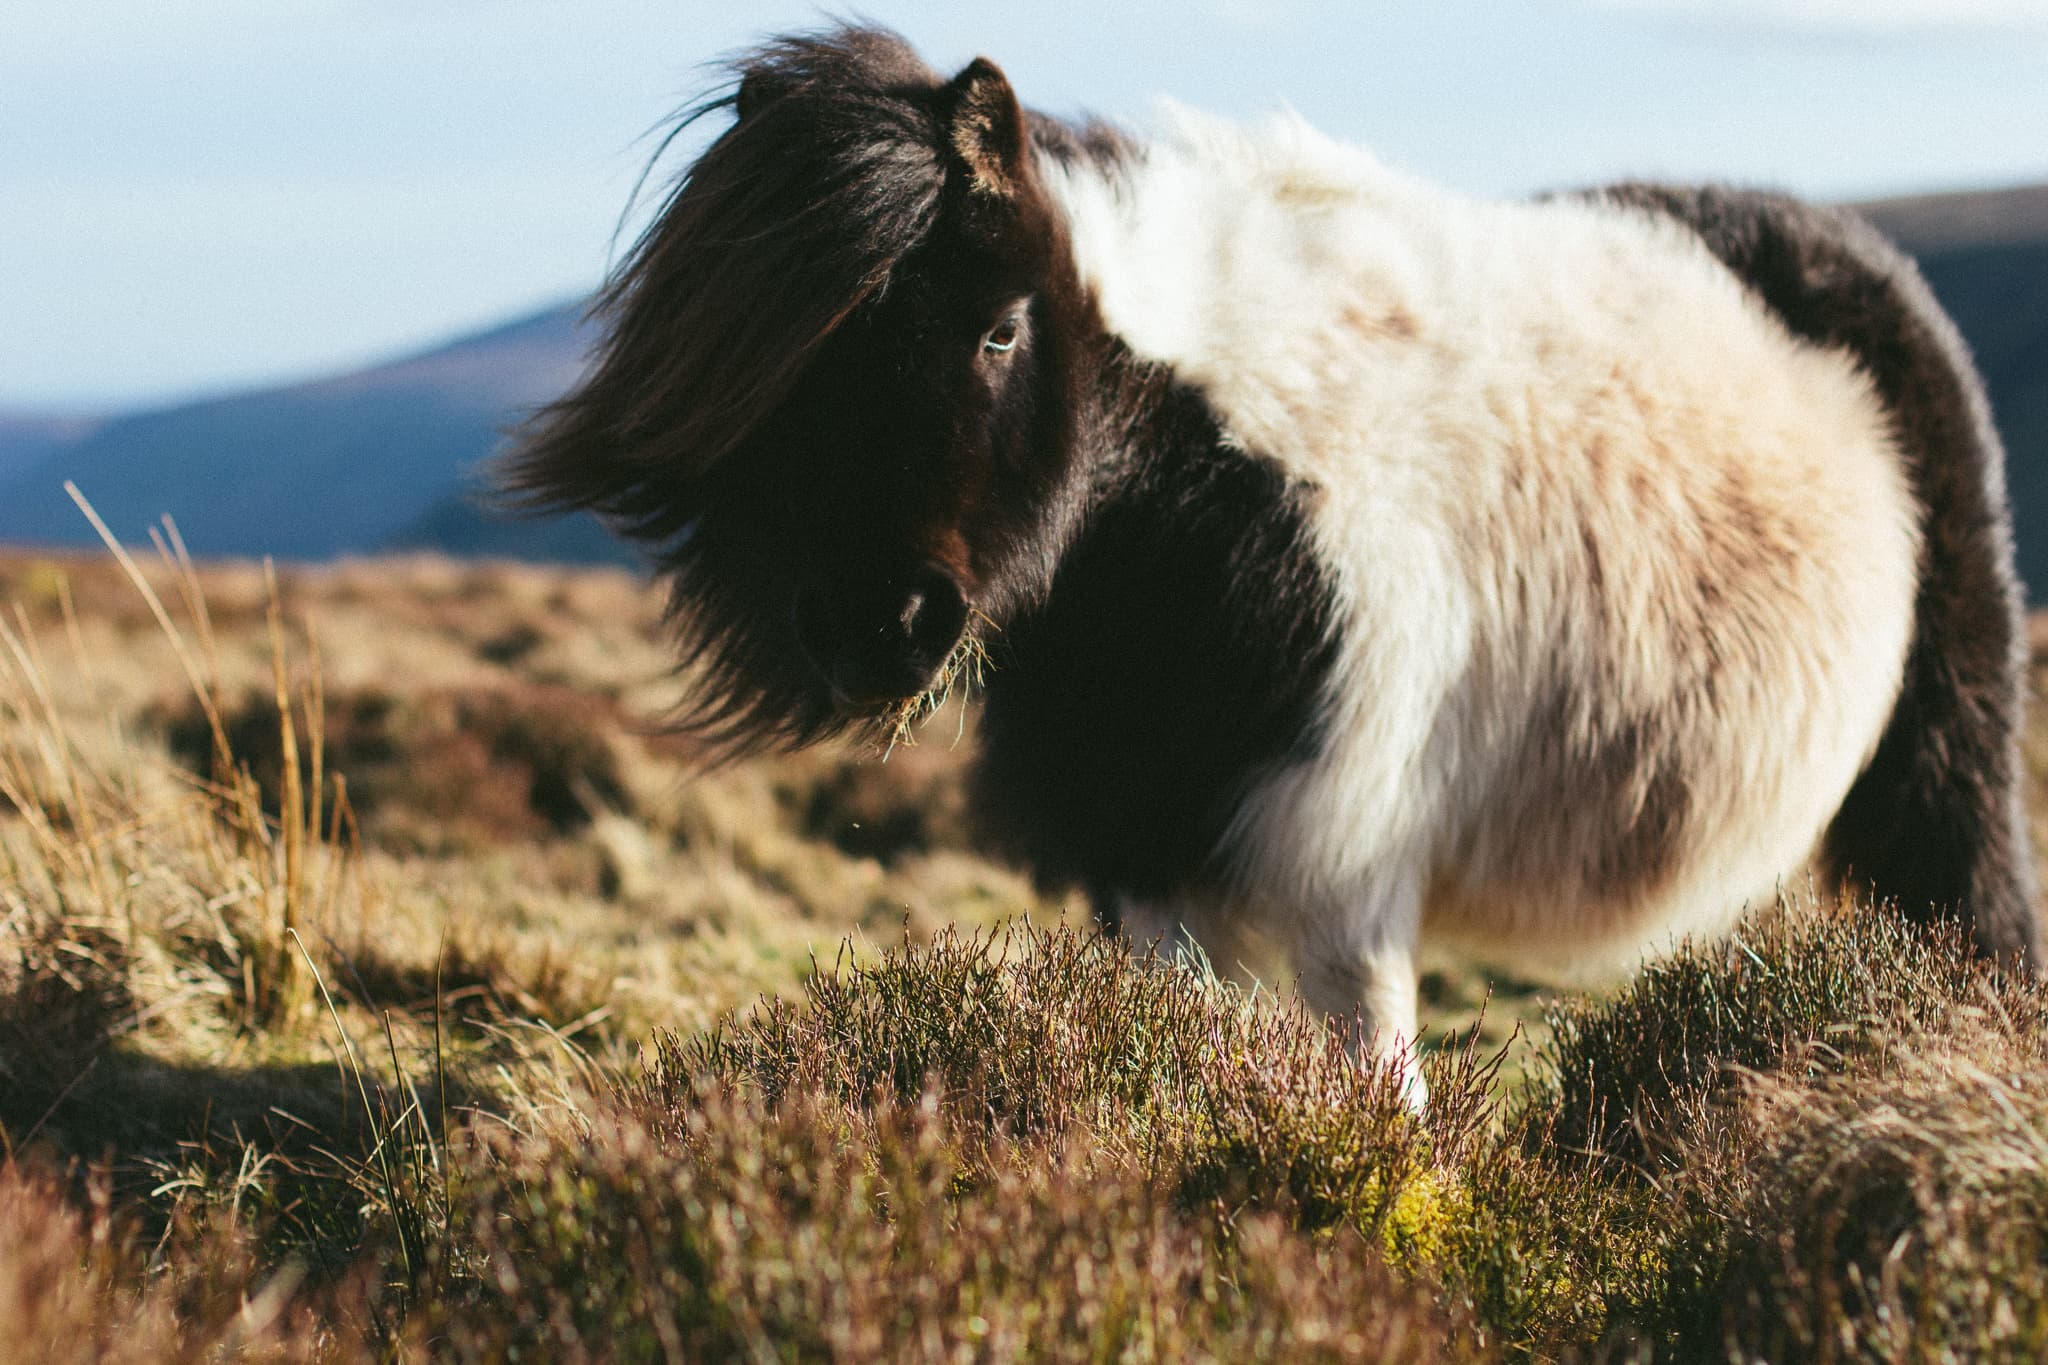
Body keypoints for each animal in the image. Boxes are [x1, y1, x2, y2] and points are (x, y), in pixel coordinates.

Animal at [502, 24, 2040, 1101]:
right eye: (791, 371)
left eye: (998, 330)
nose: (883, 626)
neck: (1201, 473)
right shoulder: (1143, 849)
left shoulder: (1341, 862)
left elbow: (1376, 1096)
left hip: (1945, 757)